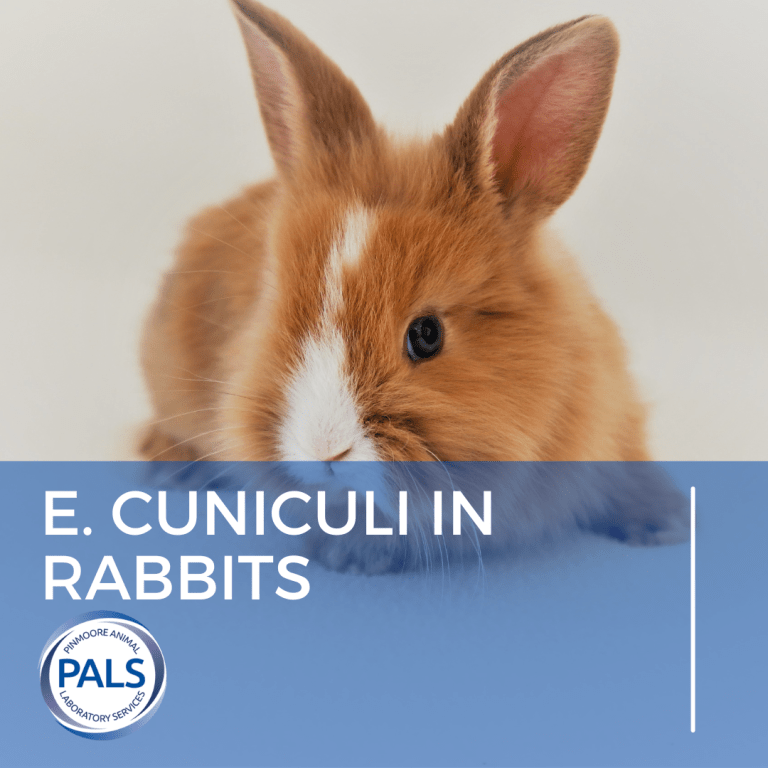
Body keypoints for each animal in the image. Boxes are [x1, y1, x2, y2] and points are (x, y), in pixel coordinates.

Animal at [139, 1, 689, 573]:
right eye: (278, 317)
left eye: (427, 335)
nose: (326, 450)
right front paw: (351, 552)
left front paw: (667, 523)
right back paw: (167, 466)